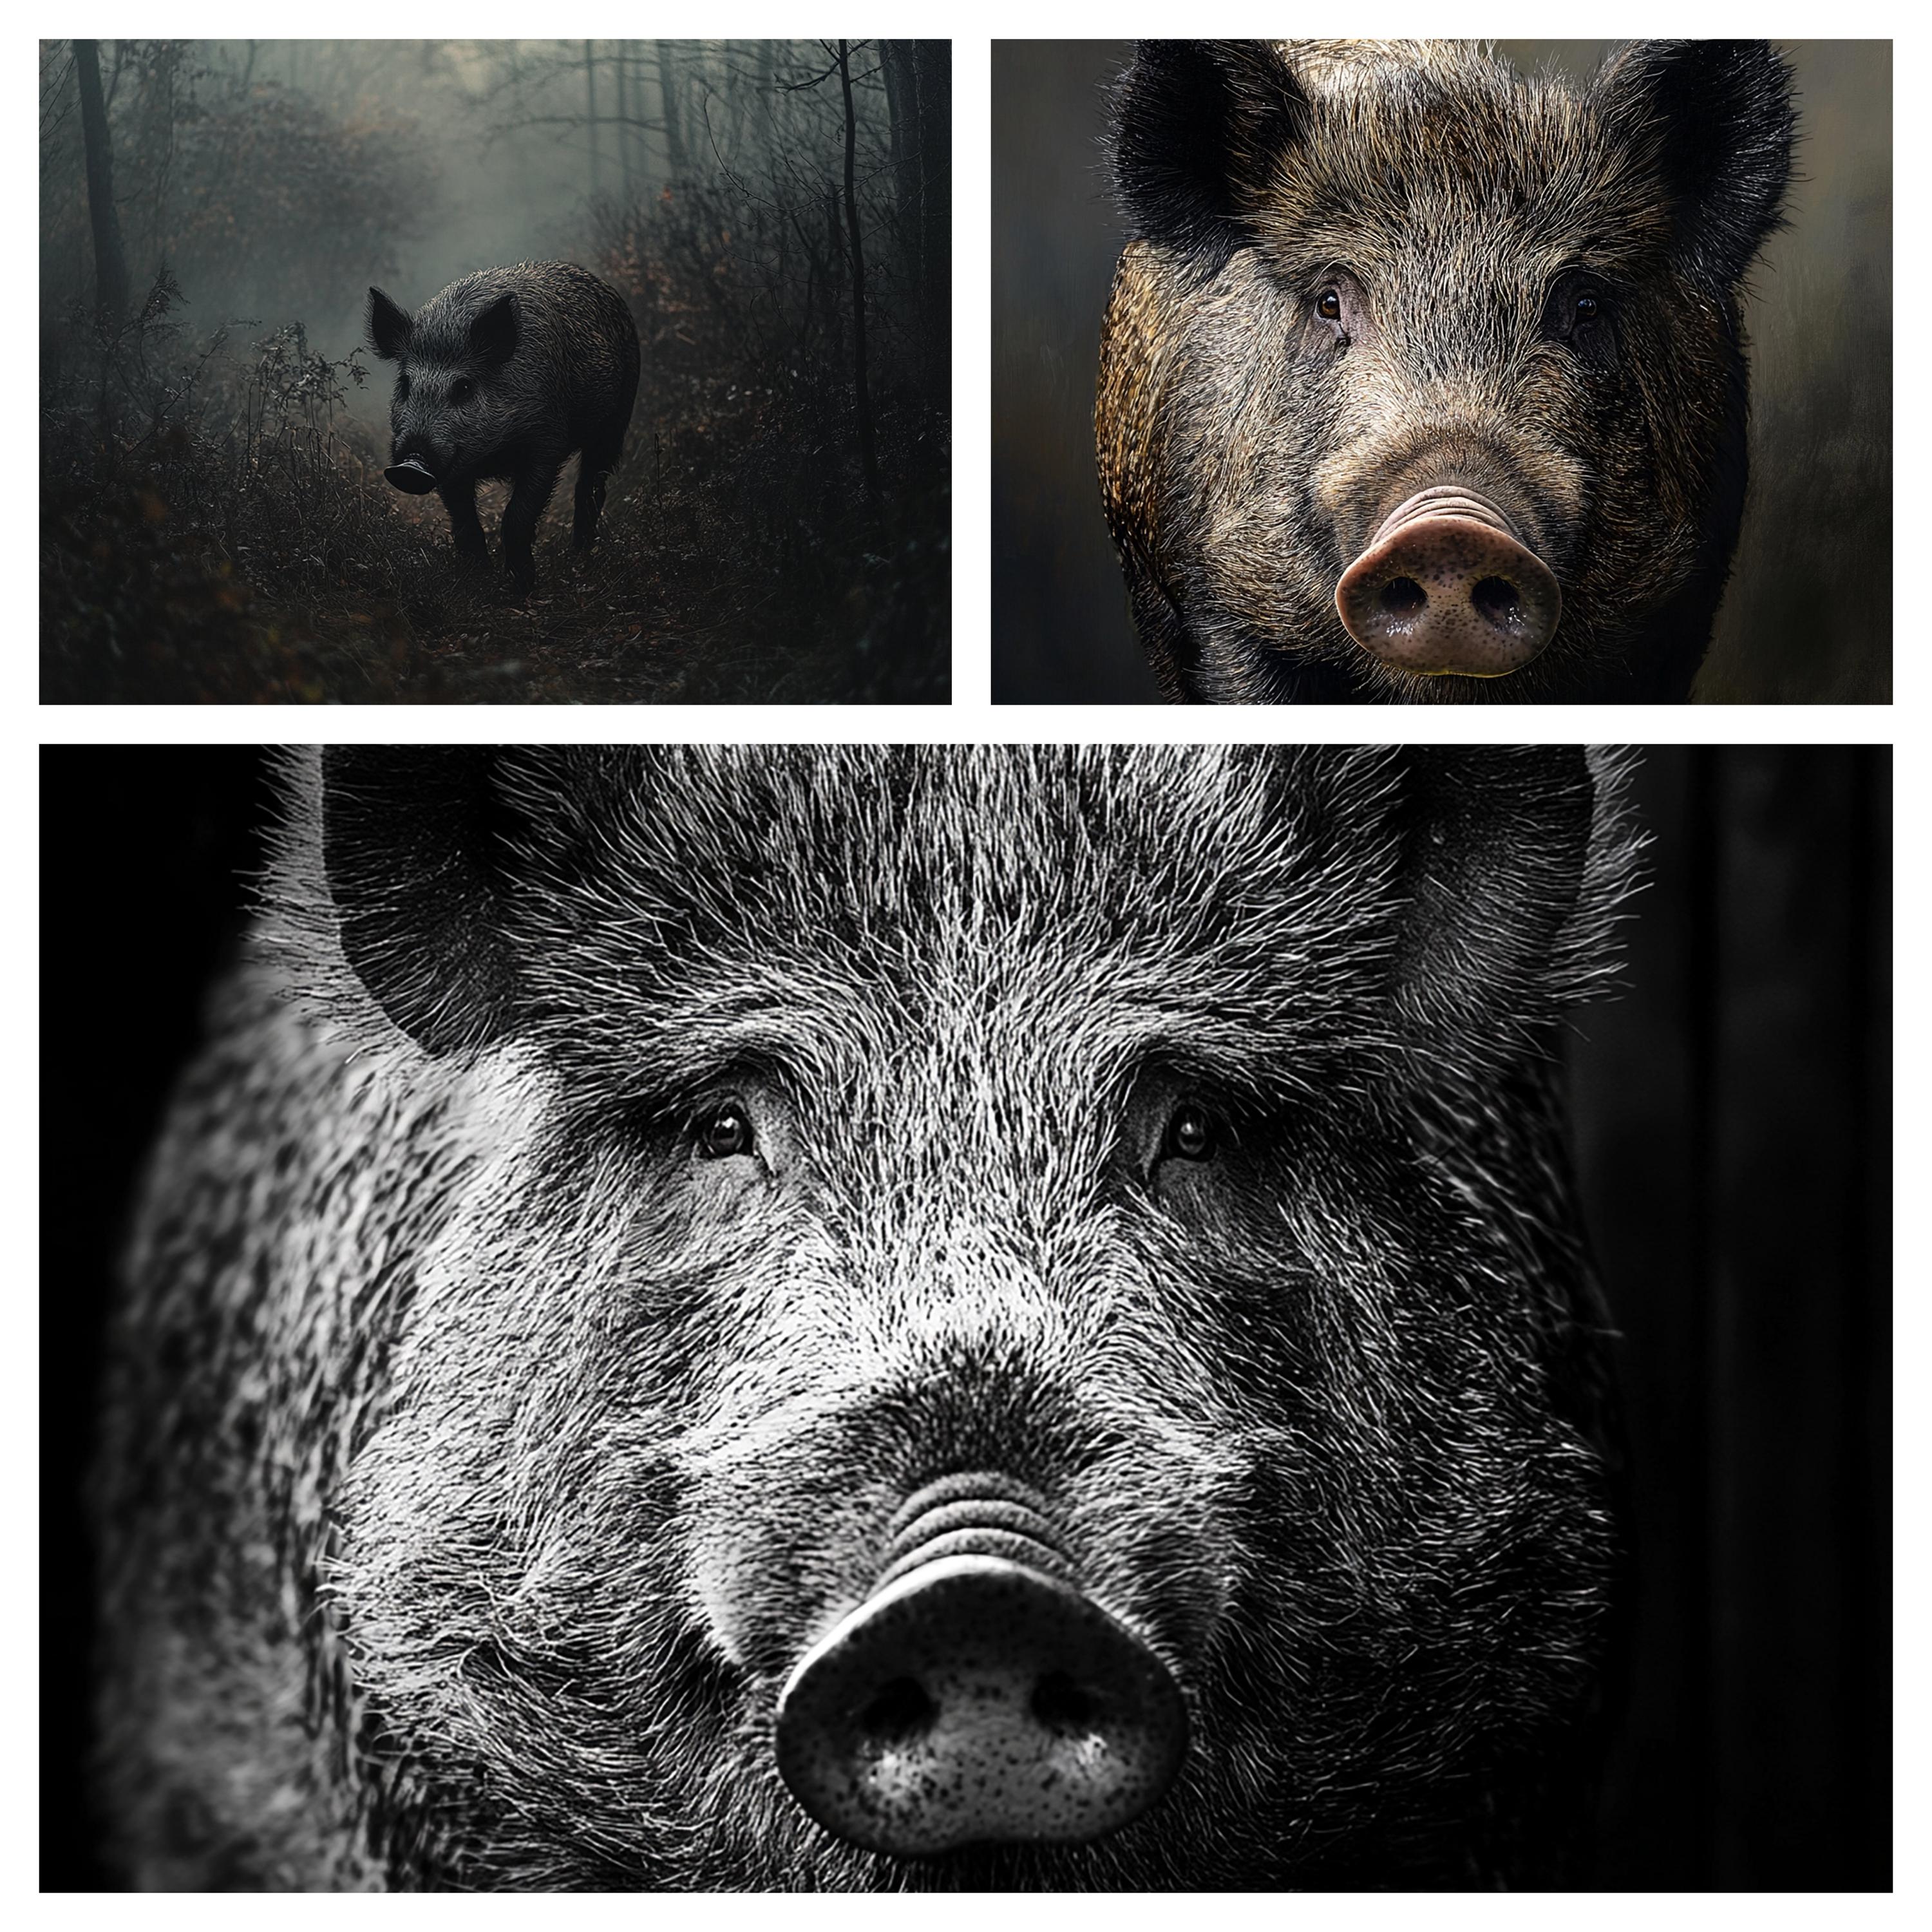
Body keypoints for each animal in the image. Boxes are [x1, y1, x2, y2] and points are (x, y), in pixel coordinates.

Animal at [367, 261, 640, 595]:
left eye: (464, 387)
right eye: (405, 383)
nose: (410, 466)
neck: (493, 454)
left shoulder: (546, 444)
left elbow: (517, 515)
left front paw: (521, 587)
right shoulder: (450, 464)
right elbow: (465, 519)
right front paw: (477, 577)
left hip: (617, 417)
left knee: (591, 484)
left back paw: (579, 556)